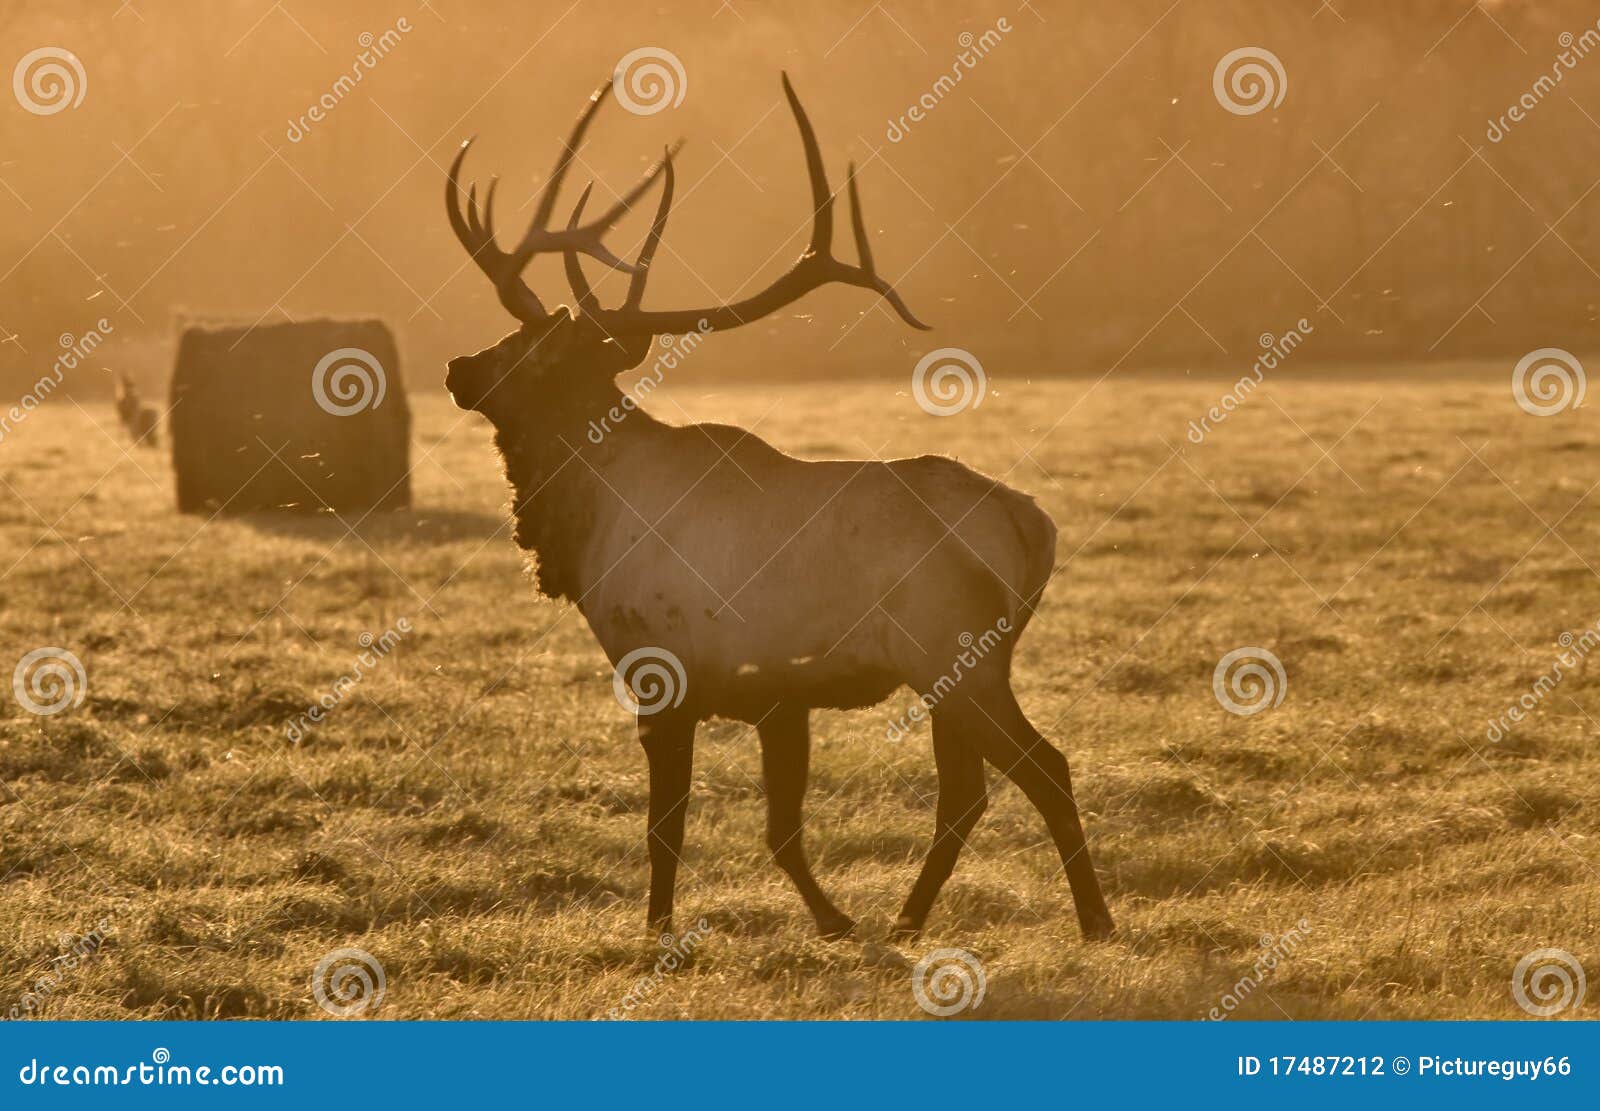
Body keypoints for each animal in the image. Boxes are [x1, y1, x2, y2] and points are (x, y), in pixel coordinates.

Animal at [443, 74, 1114, 943]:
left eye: (528, 350)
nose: (458, 367)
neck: (587, 526)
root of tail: (1033, 525)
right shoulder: (779, 696)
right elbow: (782, 829)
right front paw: (834, 922)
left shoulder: (661, 672)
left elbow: (669, 826)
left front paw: (658, 930)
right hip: (954, 669)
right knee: (966, 792)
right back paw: (907, 921)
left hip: (955, 653)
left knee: (1043, 766)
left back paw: (1093, 921)